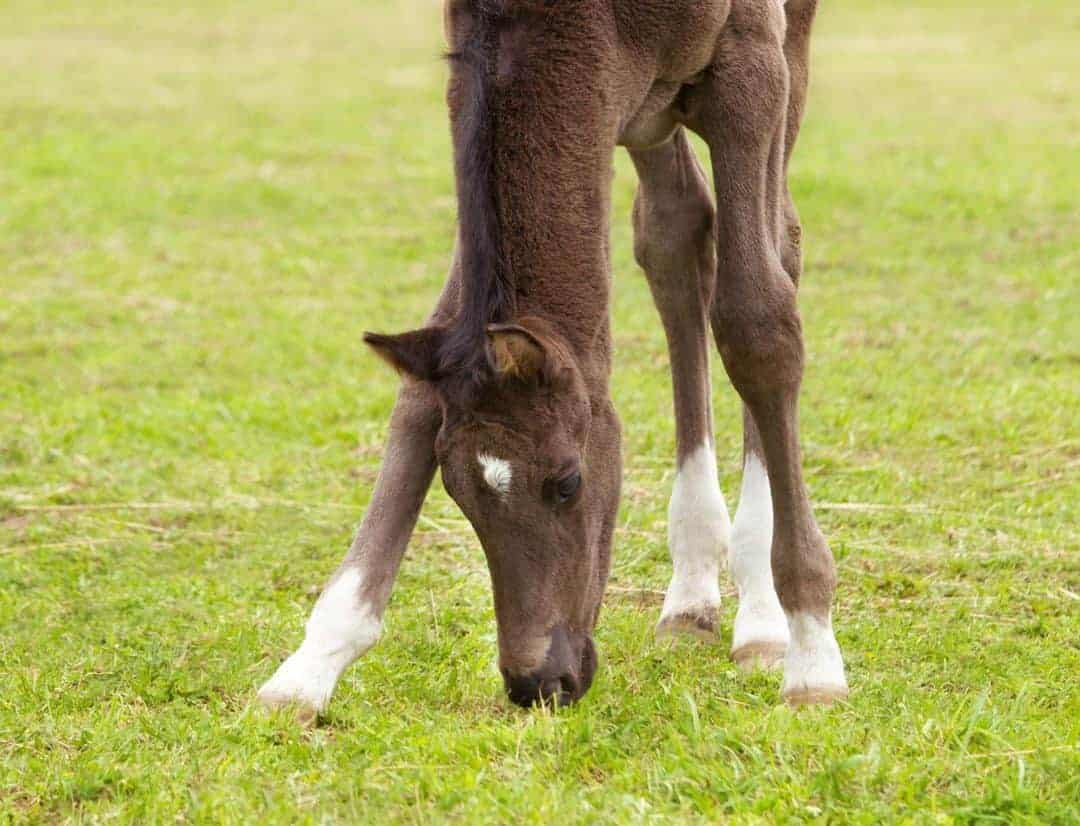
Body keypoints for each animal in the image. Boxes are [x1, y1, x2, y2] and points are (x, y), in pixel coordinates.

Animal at [257, 0, 848, 719]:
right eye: (454, 489)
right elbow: (427, 374)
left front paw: (812, 656)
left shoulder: (750, 56)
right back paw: (690, 594)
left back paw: (760, 617)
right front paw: (309, 666)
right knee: (673, 231)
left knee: (776, 241)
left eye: (567, 481)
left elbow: (757, 323)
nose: (537, 682)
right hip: (645, 108)